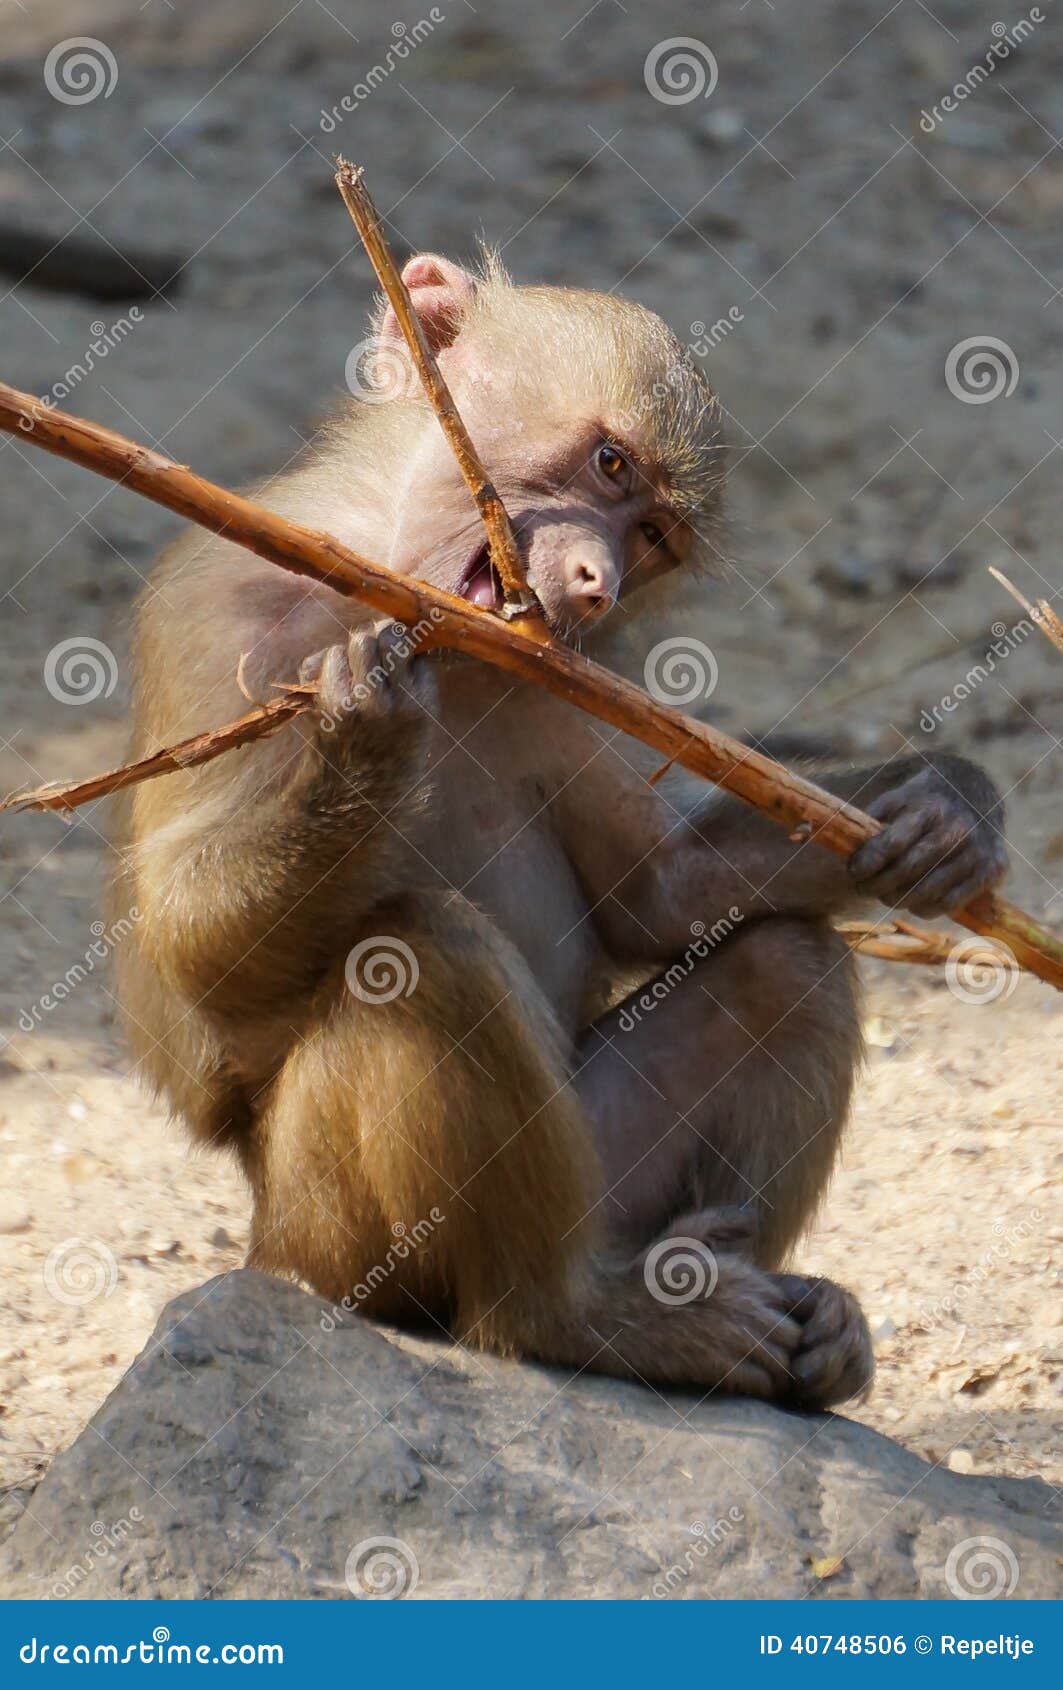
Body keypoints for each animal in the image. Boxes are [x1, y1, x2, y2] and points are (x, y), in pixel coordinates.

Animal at [109, 251, 1008, 1409]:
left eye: (654, 538)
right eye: (609, 463)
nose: (596, 587)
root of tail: (265, 1239)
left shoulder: (566, 677)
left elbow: (661, 893)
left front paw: (941, 808)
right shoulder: (221, 609)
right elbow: (193, 962)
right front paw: (365, 741)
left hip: (607, 1182)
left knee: (786, 963)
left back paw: (766, 1318)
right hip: (331, 1244)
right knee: (421, 955)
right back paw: (571, 1317)